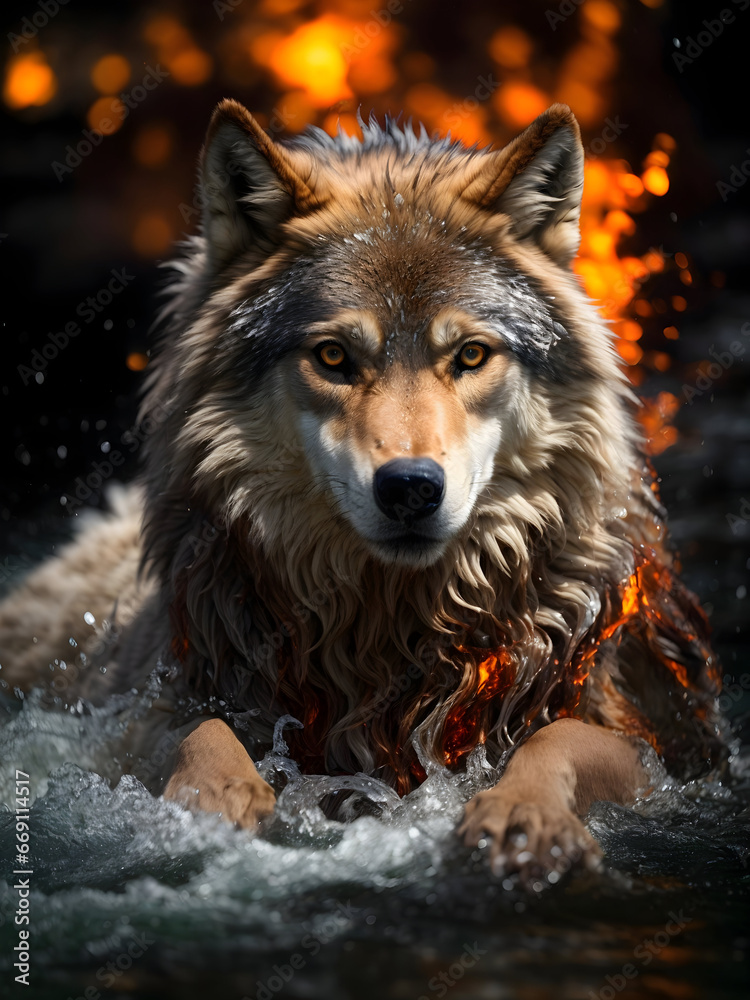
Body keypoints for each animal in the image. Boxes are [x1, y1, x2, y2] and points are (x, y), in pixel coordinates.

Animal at [0, 101, 726, 875]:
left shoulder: (649, 747)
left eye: (471, 355)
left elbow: (561, 739)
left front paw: (522, 815)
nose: (410, 487)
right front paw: (213, 803)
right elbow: (197, 734)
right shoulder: (150, 711)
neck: (392, 629)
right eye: (332, 357)